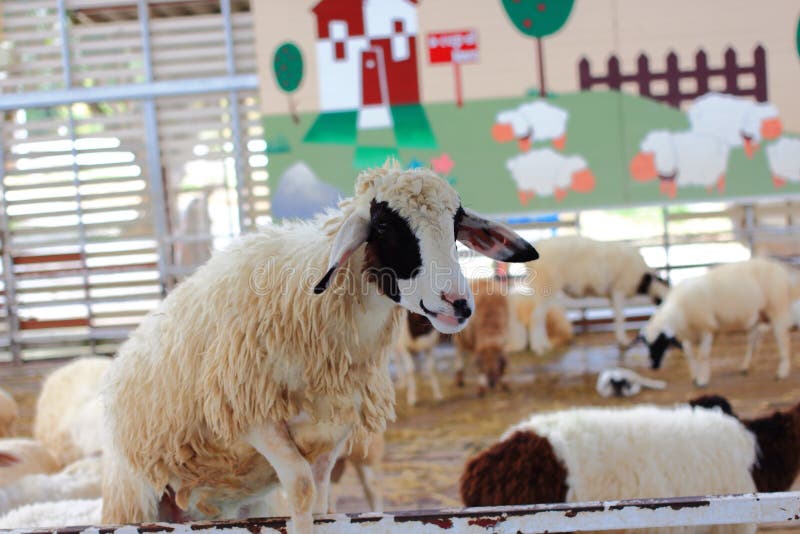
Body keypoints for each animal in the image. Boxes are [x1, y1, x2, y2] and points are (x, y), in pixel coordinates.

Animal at [101, 161, 538, 531]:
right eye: (384, 225)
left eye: (456, 224)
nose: (458, 303)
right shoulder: (254, 415)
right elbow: (301, 490)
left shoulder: (334, 430)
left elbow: (324, 498)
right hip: (135, 497)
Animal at [524, 236, 669, 354]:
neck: (644, 277)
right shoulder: (618, 289)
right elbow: (621, 317)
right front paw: (624, 341)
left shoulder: (611, 295)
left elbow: (615, 316)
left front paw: (620, 339)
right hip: (546, 287)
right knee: (536, 317)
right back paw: (539, 347)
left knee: (540, 317)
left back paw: (543, 344)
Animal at [639, 257, 799, 386]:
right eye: (647, 345)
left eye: (660, 343)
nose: (652, 366)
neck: (678, 308)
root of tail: (782, 271)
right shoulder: (686, 334)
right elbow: (689, 356)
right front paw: (695, 376)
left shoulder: (707, 327)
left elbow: (703, 355)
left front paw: (702, 380)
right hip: (759, 314)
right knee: (754, 341)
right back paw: (747, 366)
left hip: (777, 307)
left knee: (782, 339)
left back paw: (782, 372)